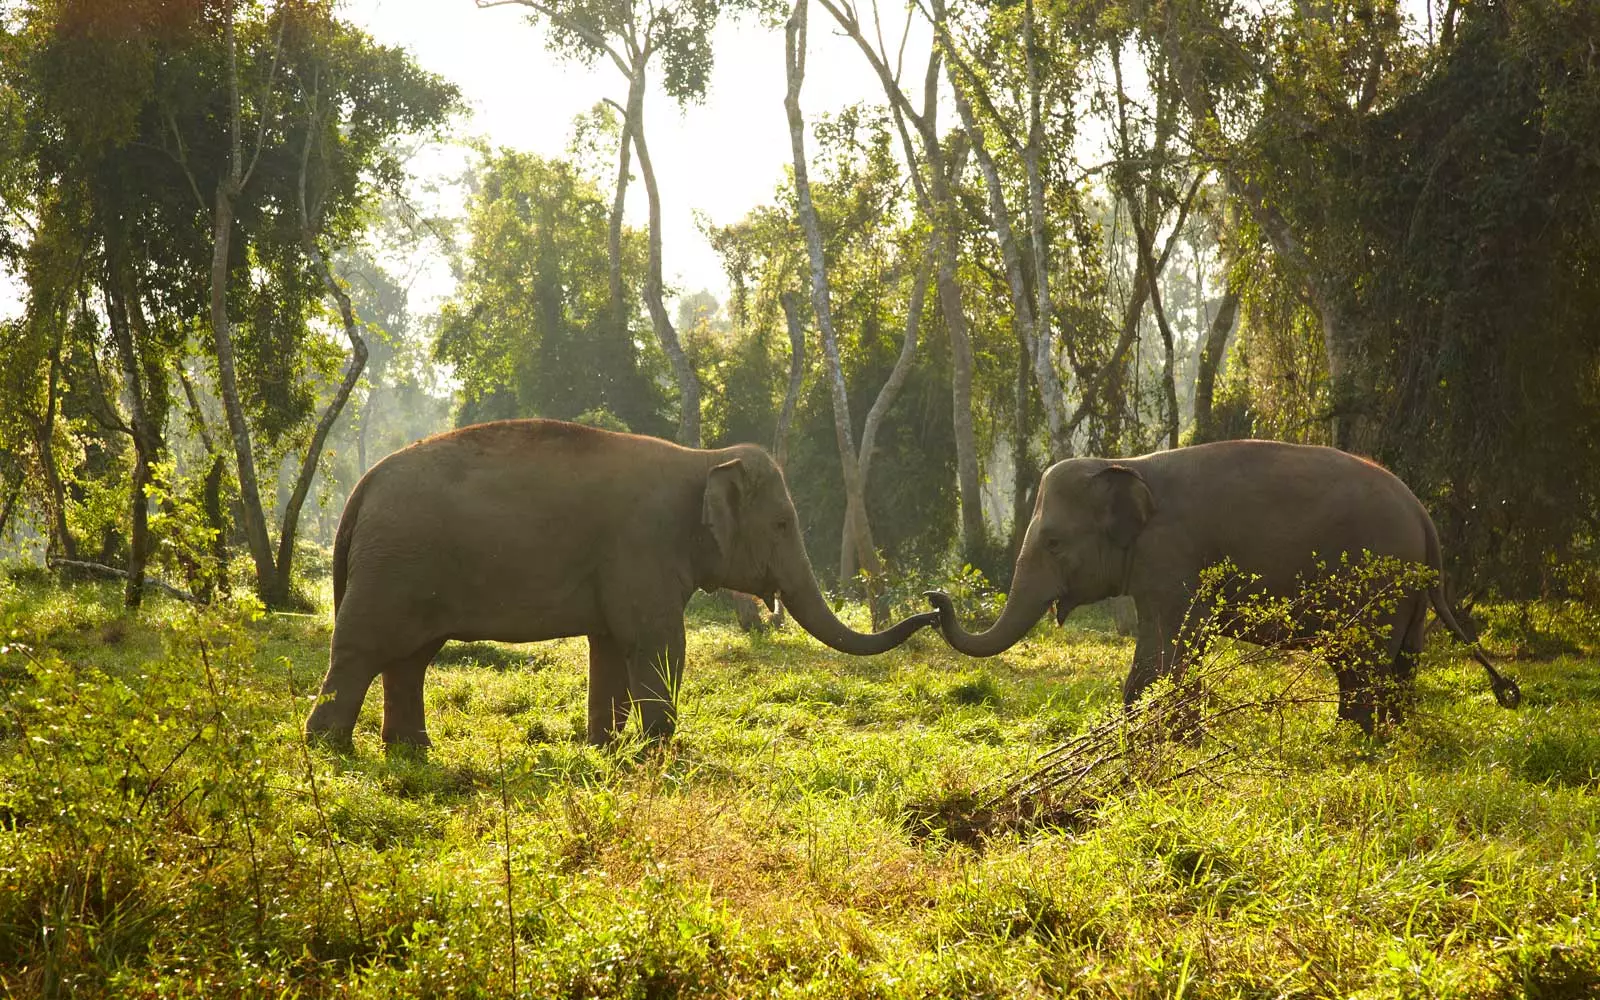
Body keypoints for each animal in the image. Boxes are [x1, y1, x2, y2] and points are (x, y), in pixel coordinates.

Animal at [302, 416, 934, 752]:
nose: (936, 605)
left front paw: (603, 747)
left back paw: (411, 750)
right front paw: (660, 748)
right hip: (394, 565)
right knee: (364, 648)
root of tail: (362, 486)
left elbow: (608, 646)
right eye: (781, 523)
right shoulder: (642, 545)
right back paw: (329, 748)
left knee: (410, 657)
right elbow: (656, 641)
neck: (703, 459)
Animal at [921, 441, 1516, 729]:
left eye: (1052, 543)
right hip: (1406, 592)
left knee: (1361, 661)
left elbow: (1167, 649)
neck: (1126, 463)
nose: (935, 597)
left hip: (1380, 586)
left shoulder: (1172, 556)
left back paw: (1356, 739)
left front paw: (1156, 738)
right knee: (1398, 663)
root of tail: (1423, 515)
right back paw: (1378, 737)